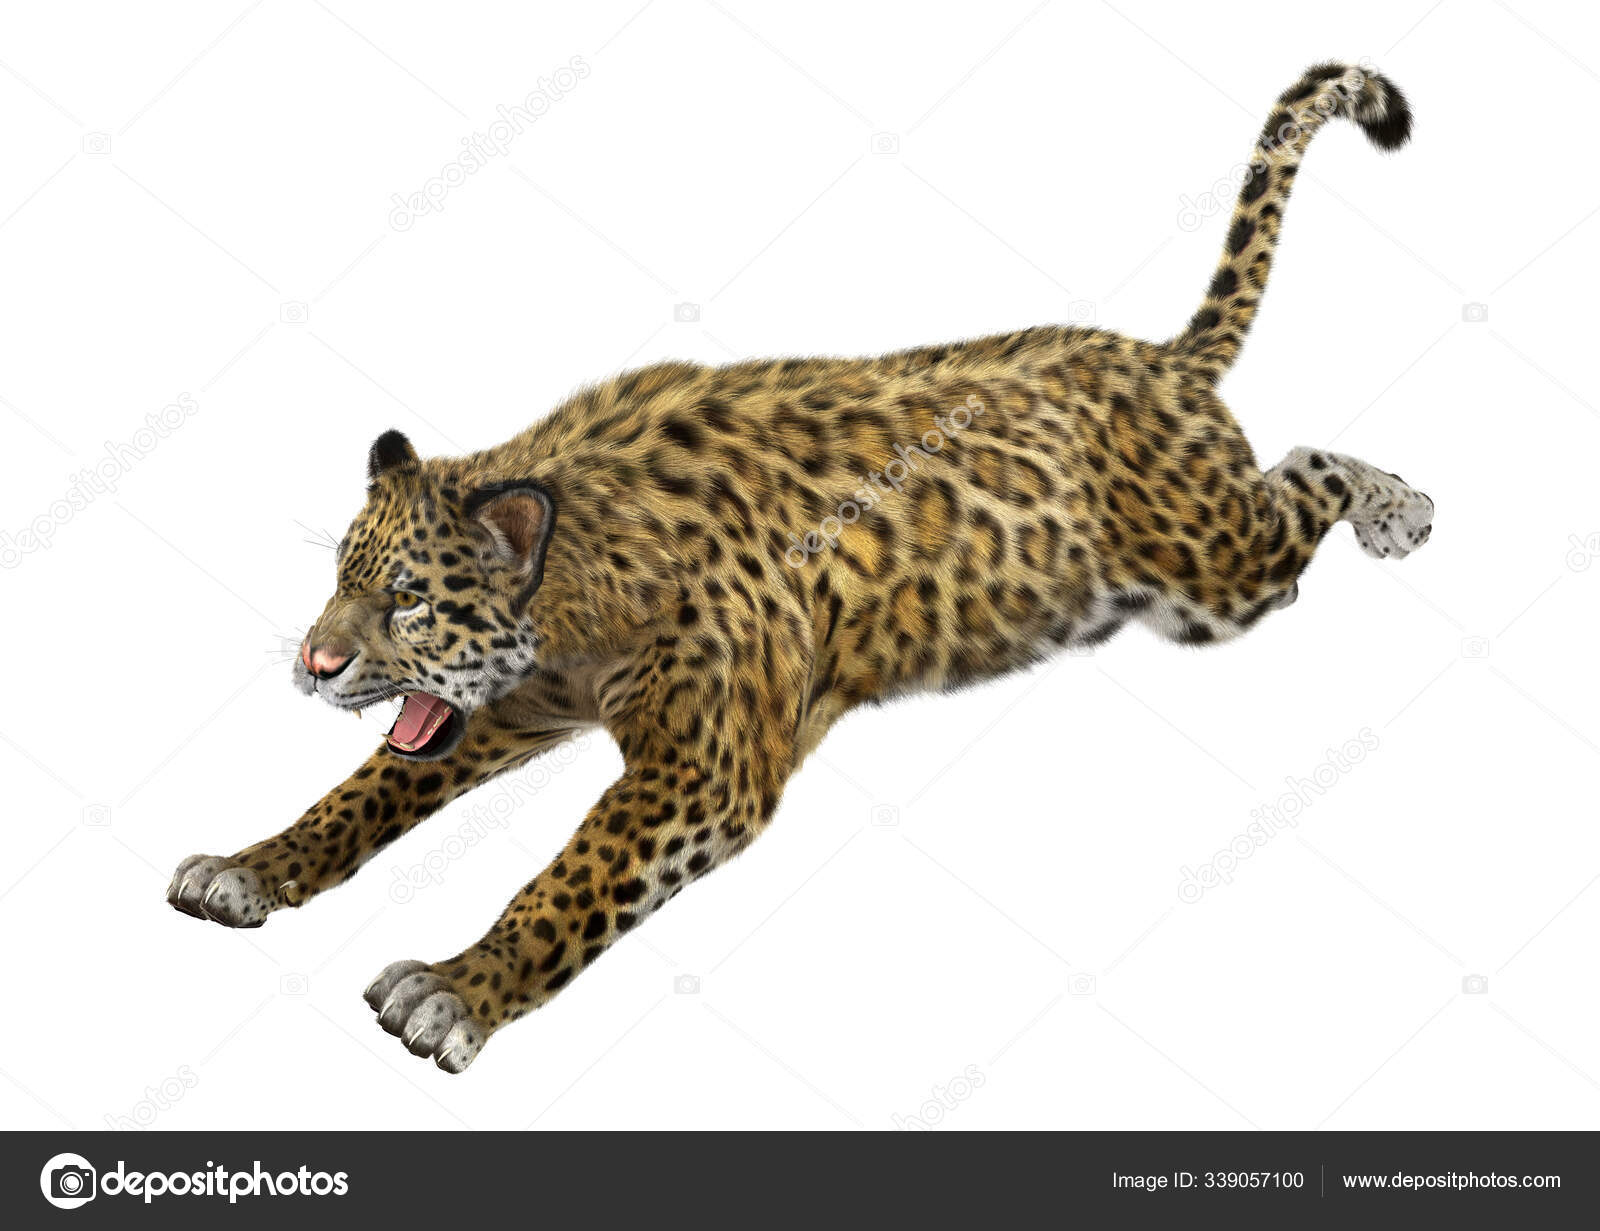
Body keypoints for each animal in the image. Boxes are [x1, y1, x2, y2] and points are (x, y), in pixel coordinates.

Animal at [169, 61, 1432, 1072]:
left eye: (409, 599)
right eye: (342, 577)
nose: (313, 662)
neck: (580, 598)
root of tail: (1152, 357)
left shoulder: (706, 769)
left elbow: (572, 879)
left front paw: (453, 990)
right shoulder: (505, 715)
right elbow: (362, 794)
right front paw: (247, 867)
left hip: (1215, 572)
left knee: (1302, 473)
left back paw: (1404, 509)